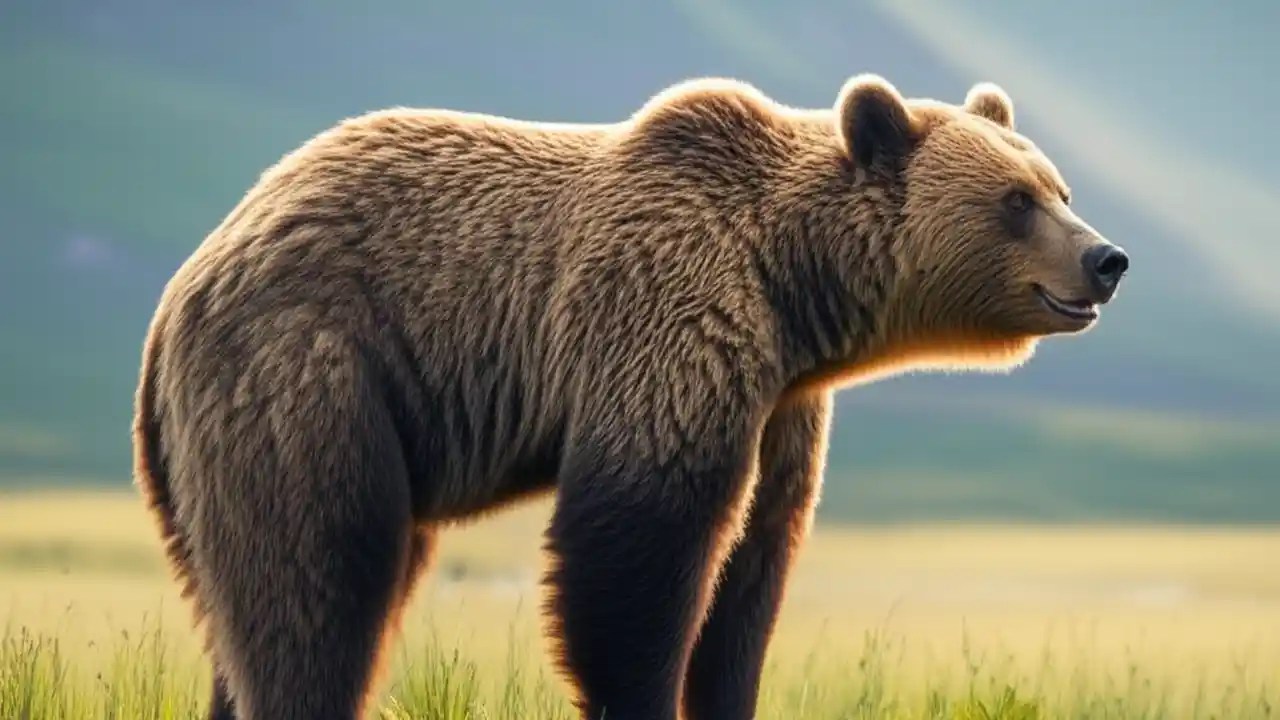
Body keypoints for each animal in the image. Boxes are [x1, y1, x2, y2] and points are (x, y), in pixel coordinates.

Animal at [132, 73, 1128, 720]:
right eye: (1016, 201)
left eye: (1060, 186)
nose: (1106, 258)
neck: (793, 286)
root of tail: (183, 287)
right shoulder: (666, 314)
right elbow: (639, 546)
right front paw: (639, 693)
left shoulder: (781, 400)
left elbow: (754, 568)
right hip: (309, 372)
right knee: (316, 577)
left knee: (241, 603)